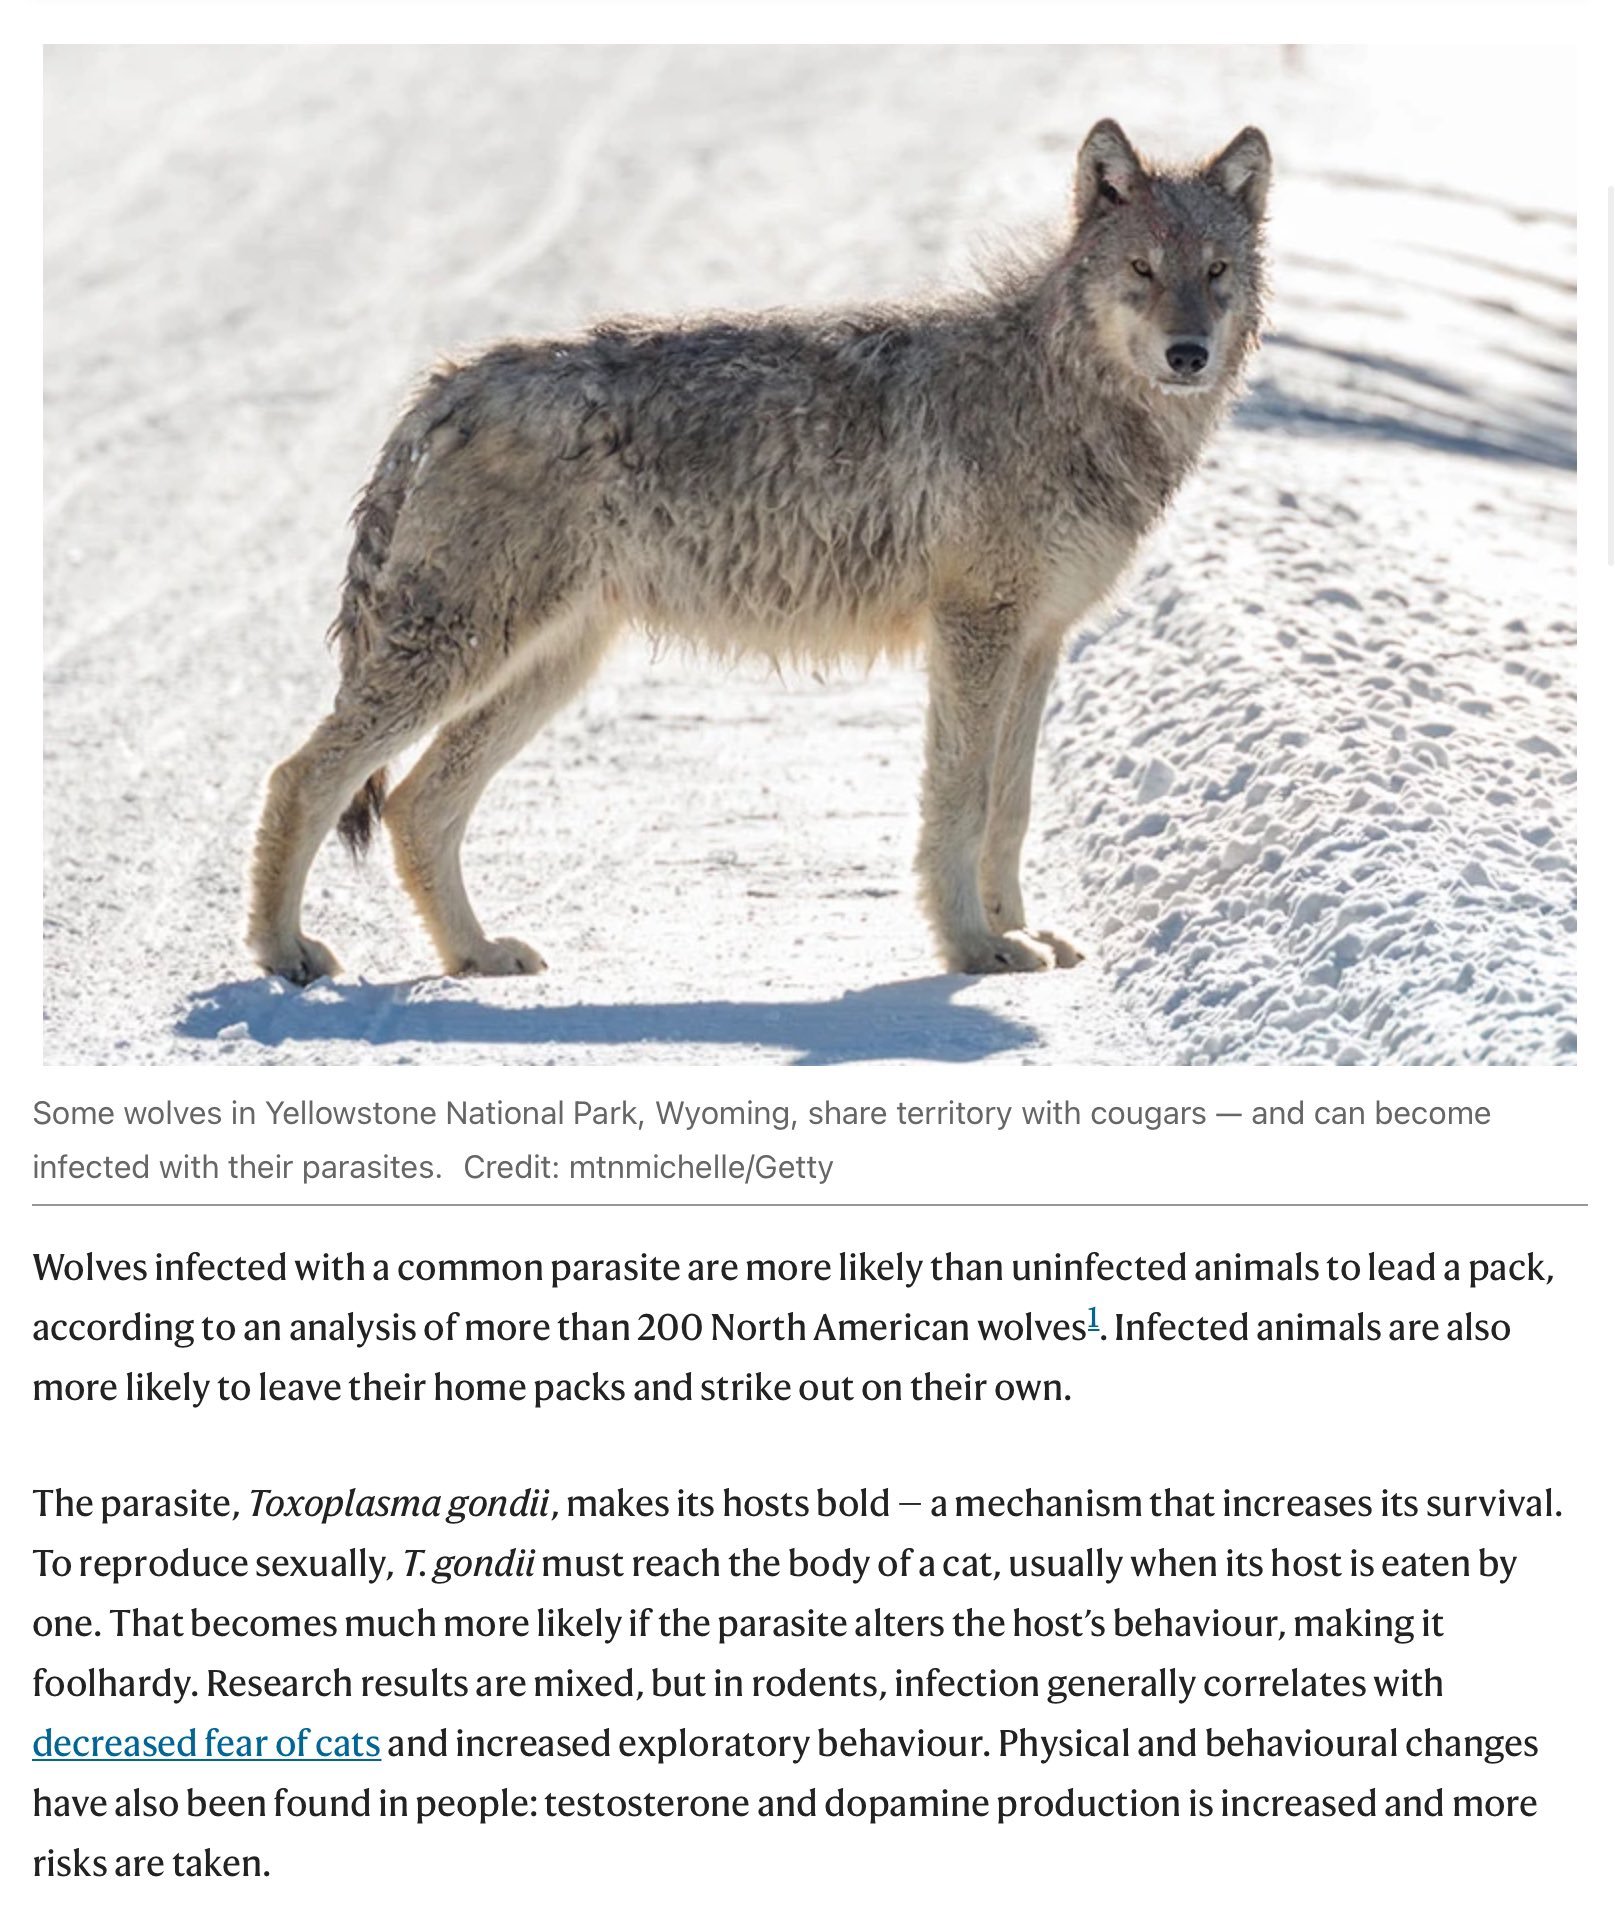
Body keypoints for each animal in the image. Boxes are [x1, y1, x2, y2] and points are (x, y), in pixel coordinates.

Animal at [247, 119, 1270, 983]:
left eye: (1216, 270)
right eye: (1141, 269)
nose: (1188, 353)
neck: (1062, 393)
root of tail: (451, 382)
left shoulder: (1039, 641)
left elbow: (1010, 809)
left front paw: (1016, 931)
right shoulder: (974, 631)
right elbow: (962, 802)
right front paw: (975, 949)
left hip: (545, 666)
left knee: (416, 806)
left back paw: (476, 955)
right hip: (466, 654)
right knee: (304, 776)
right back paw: (284, 953)